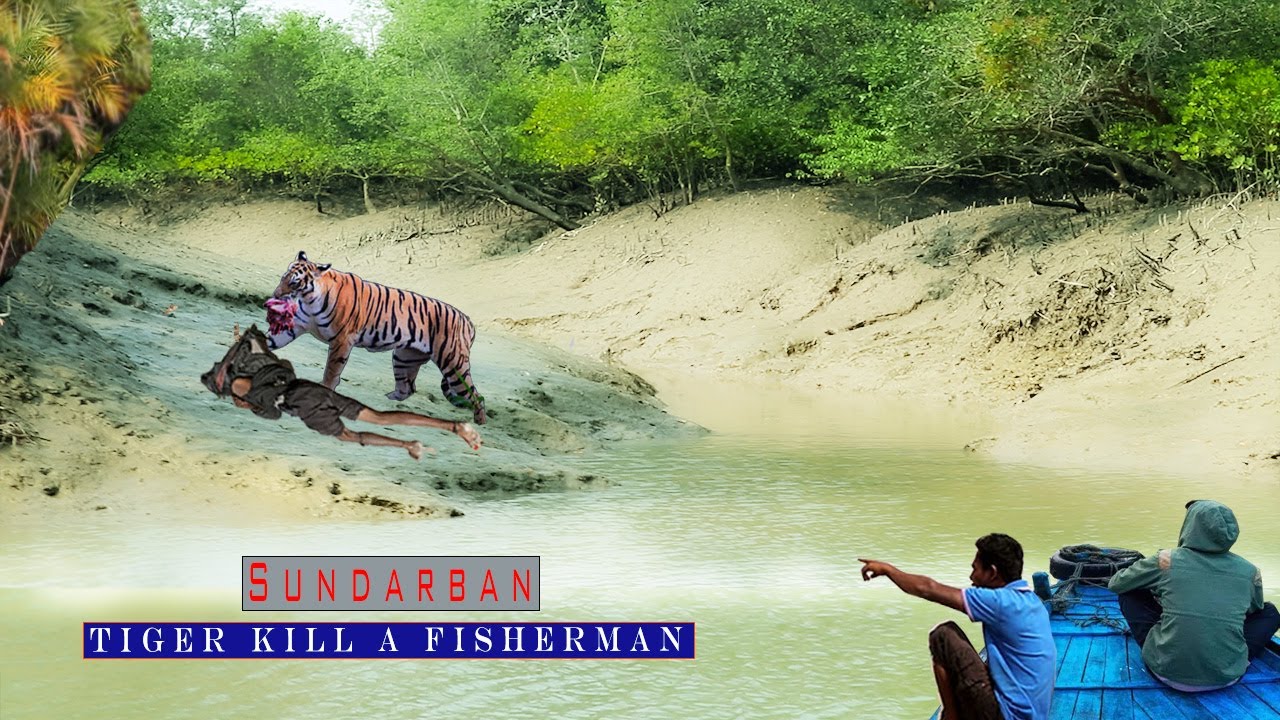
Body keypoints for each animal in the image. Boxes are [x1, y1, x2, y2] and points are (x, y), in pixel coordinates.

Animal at [266, 251, 487, 424]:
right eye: (283, 277)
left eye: (294, 283)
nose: (275, 295)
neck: (309, 299)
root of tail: (468, 321)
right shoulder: (295, 326)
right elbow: (271, 340)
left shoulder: (341, 340)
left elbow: (331, 370)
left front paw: (324, 390)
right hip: (404, 358)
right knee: (407, 388)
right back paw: (386, 404)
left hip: (453, 365)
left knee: (477, 396)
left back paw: (480, 422)